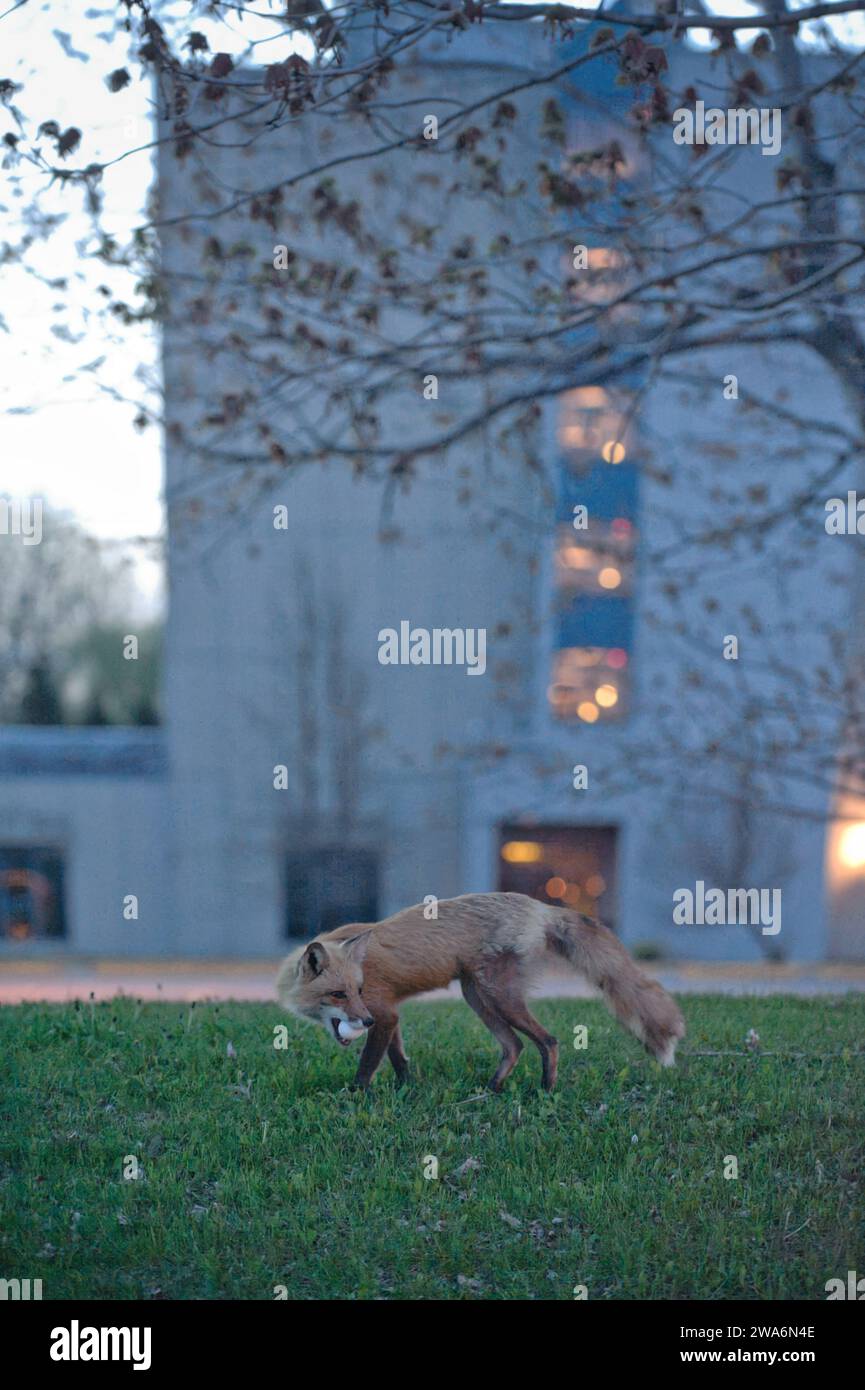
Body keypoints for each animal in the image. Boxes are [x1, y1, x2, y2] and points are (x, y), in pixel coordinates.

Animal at [276, 891, 685, 1092]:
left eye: (357, 990)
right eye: (339, 994)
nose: (363, 1020)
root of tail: (541, 906)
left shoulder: (384, 1012)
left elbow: (368, 1065)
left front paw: (357, 1096)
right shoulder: (390, 1016)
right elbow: (399, 1059)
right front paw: (408, 1088)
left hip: (497, 995)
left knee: (548, 1041)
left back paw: (545, 1090)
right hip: (477, 995)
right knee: (514, 1046)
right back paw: (494, 1088)